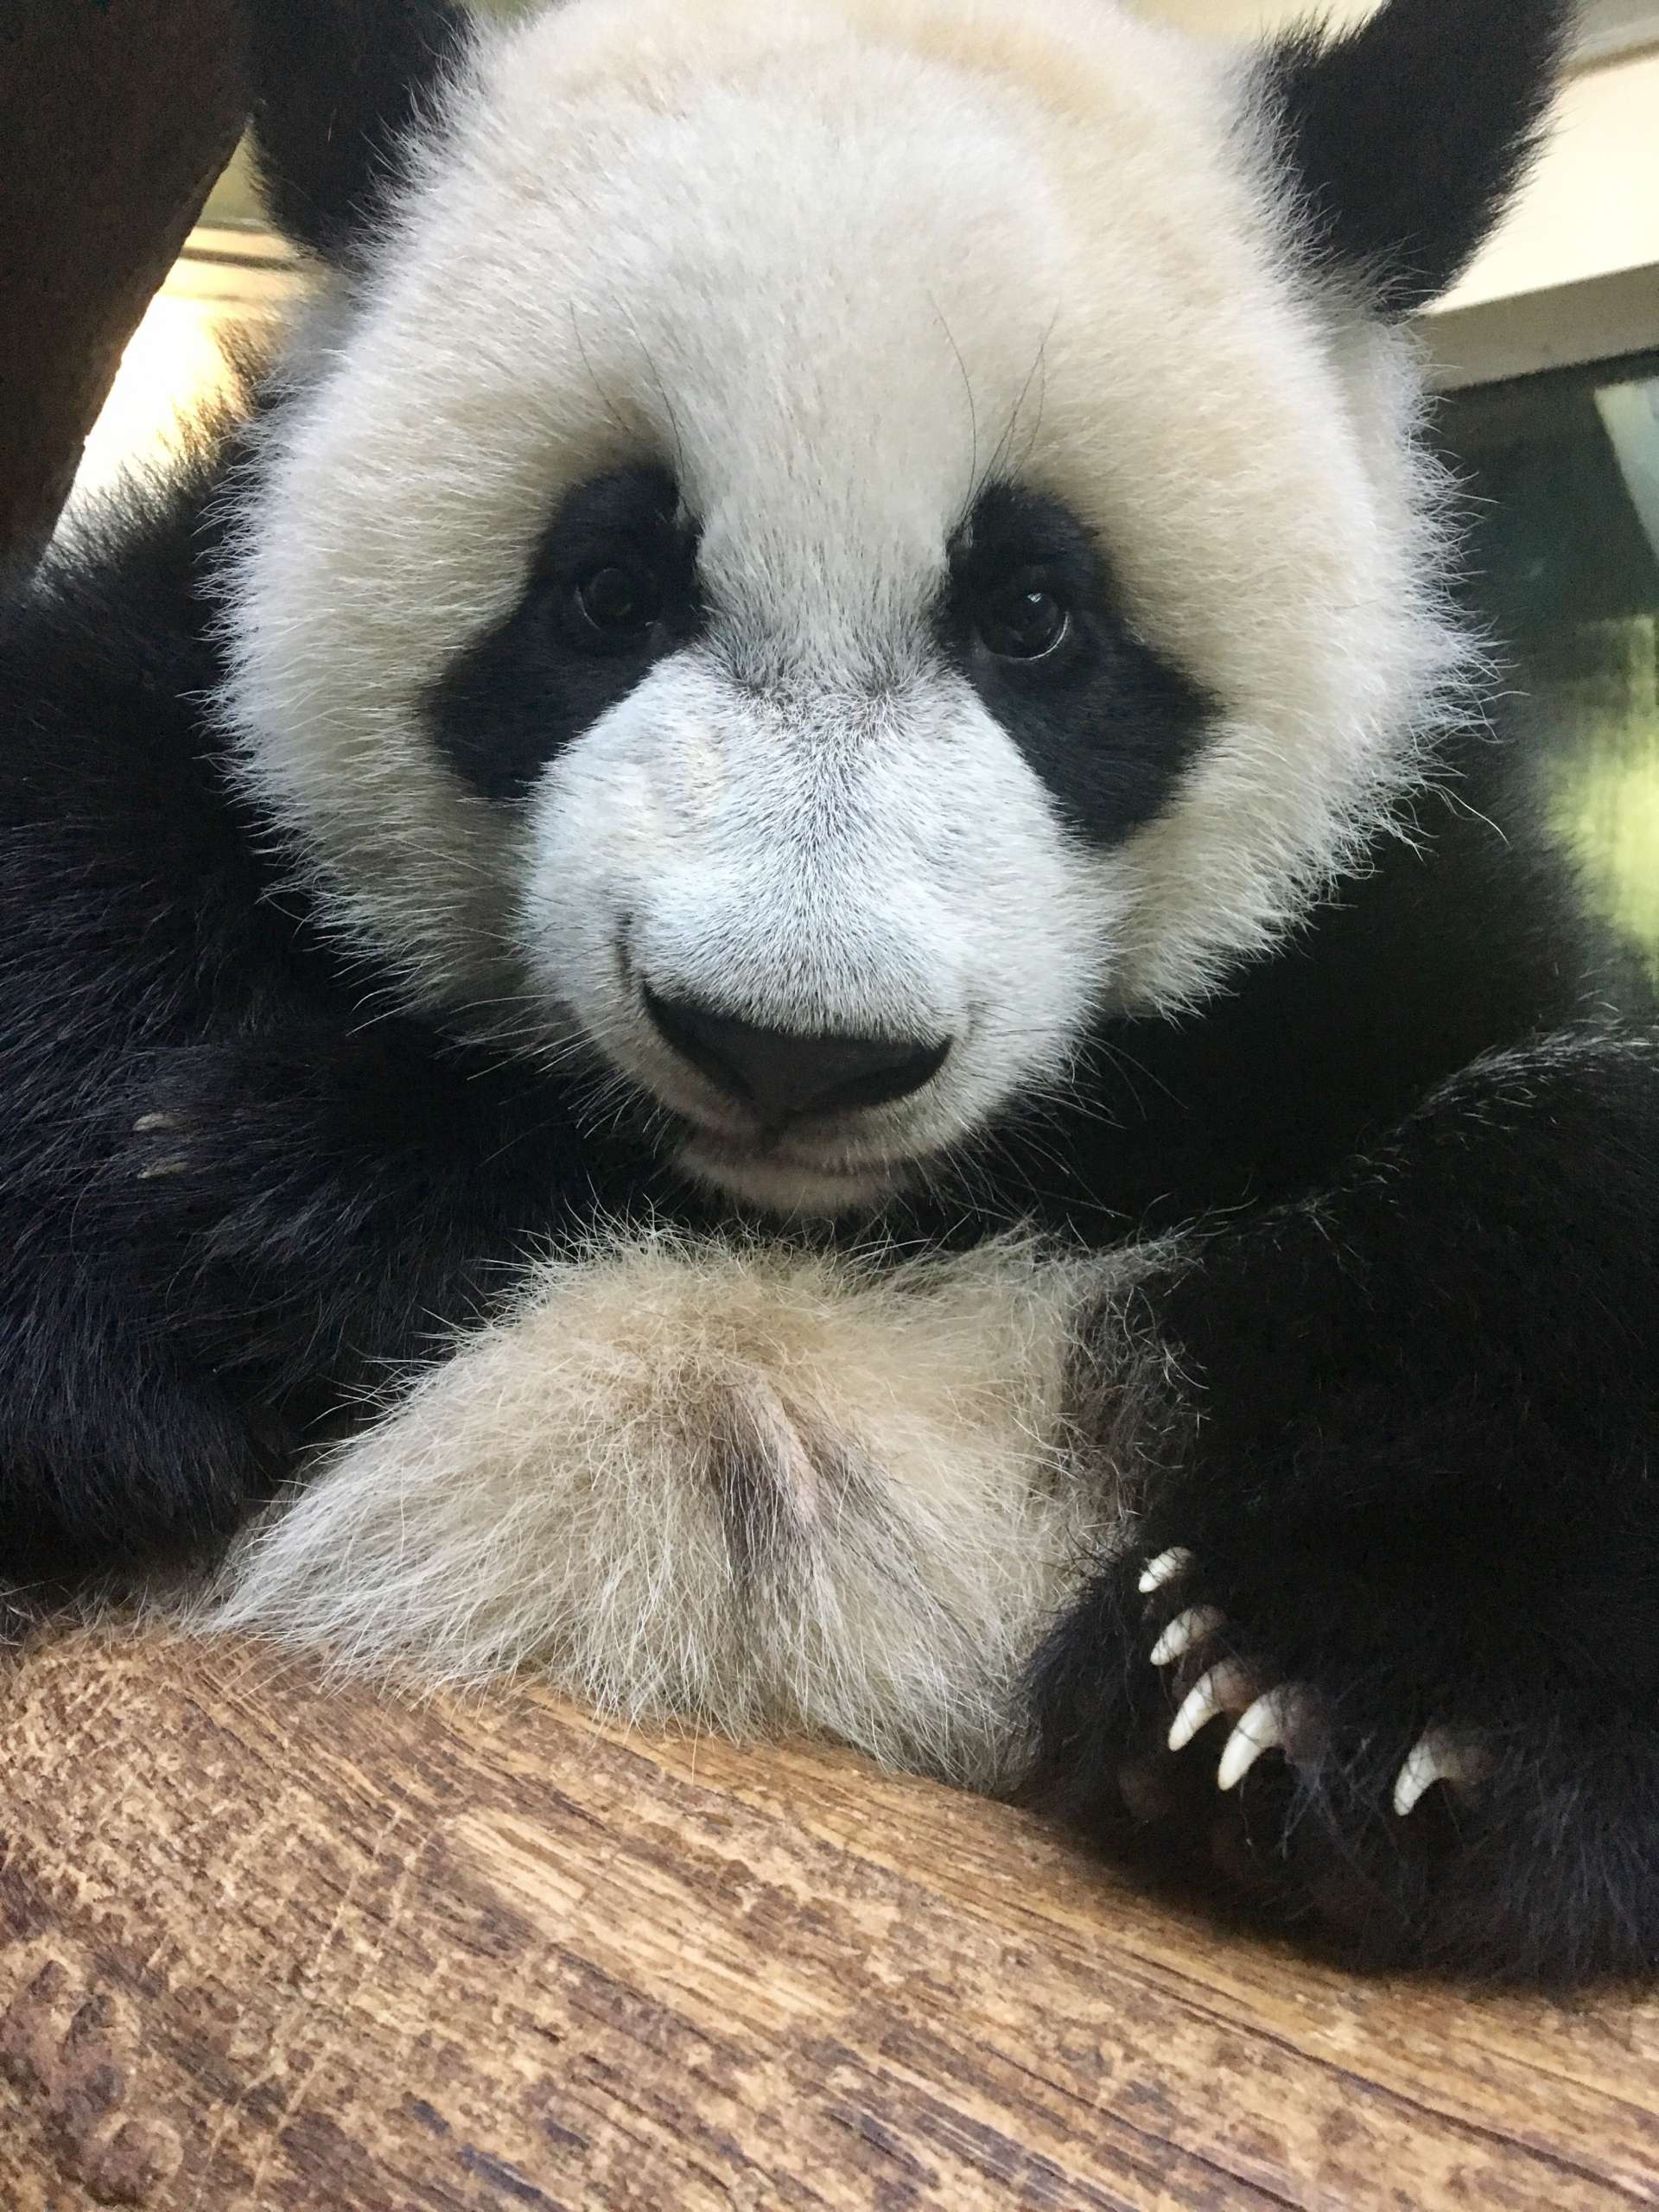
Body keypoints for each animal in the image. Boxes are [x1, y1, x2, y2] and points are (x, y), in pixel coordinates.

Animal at [3, 0, 1655, 1984]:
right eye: (606, 589)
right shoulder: (165, 667)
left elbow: (1564, 1180)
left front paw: (1357, 1703)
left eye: (1036, 614)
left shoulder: (1387, 923)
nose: (789, 1051)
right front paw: (219, 1205)